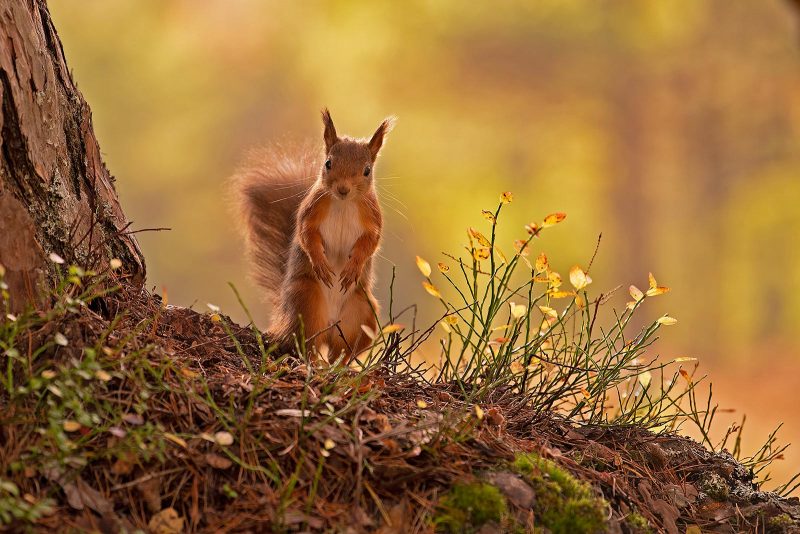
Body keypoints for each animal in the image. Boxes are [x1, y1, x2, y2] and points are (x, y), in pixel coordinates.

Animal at [232, 109, 394, 359]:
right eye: (328, 163)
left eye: (367, 170)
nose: (343, 189)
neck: (343, 203)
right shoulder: (311, 210)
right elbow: (306, 234)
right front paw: (320, 263)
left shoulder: (373, 218)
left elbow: (371, 242)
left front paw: (353, 267)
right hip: (306, 302)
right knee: (309, 344)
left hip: (362, 314)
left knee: (341, 351)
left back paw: (340, 365)